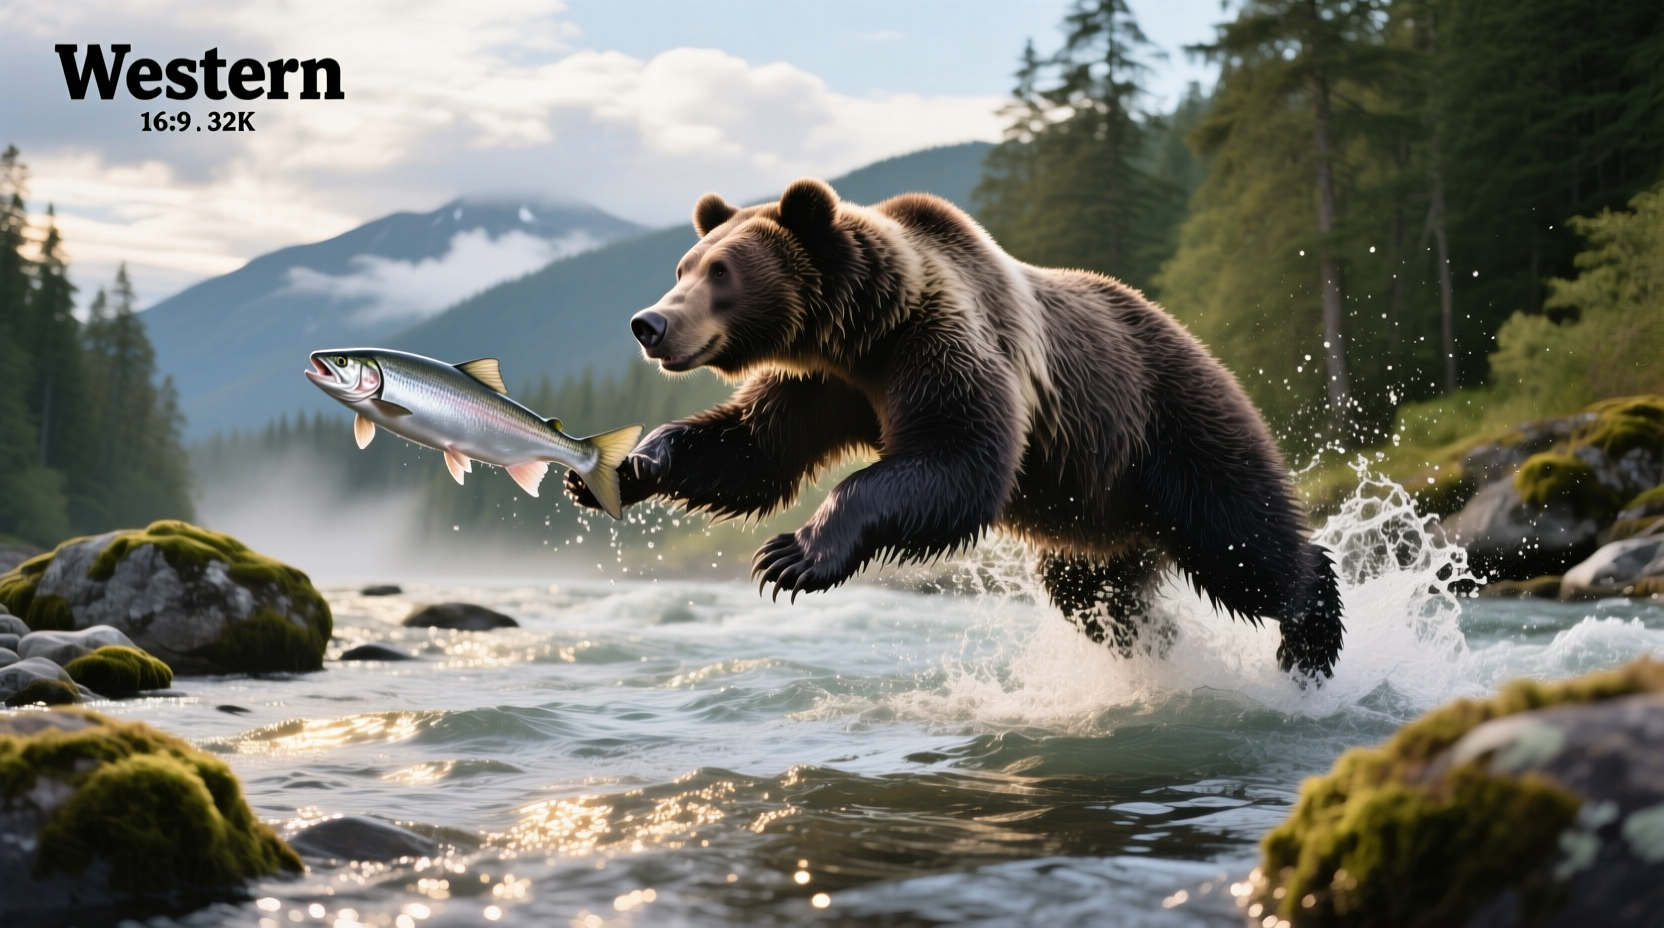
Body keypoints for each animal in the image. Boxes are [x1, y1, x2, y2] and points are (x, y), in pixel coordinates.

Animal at [566, 178, 1345, 679]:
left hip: (1168, 424)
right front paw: (630, 464)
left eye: (722, 272)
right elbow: (755, 449)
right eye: (684, 266)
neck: (863, 333)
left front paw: (793, 554)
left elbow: (958, 459)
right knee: (1096, 594)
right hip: (1095, 509)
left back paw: (1309, 634)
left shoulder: (940, 345)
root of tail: (1195, 337)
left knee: (1240, 538)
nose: (649, 323)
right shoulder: (824, 386)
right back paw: (1156, 644)